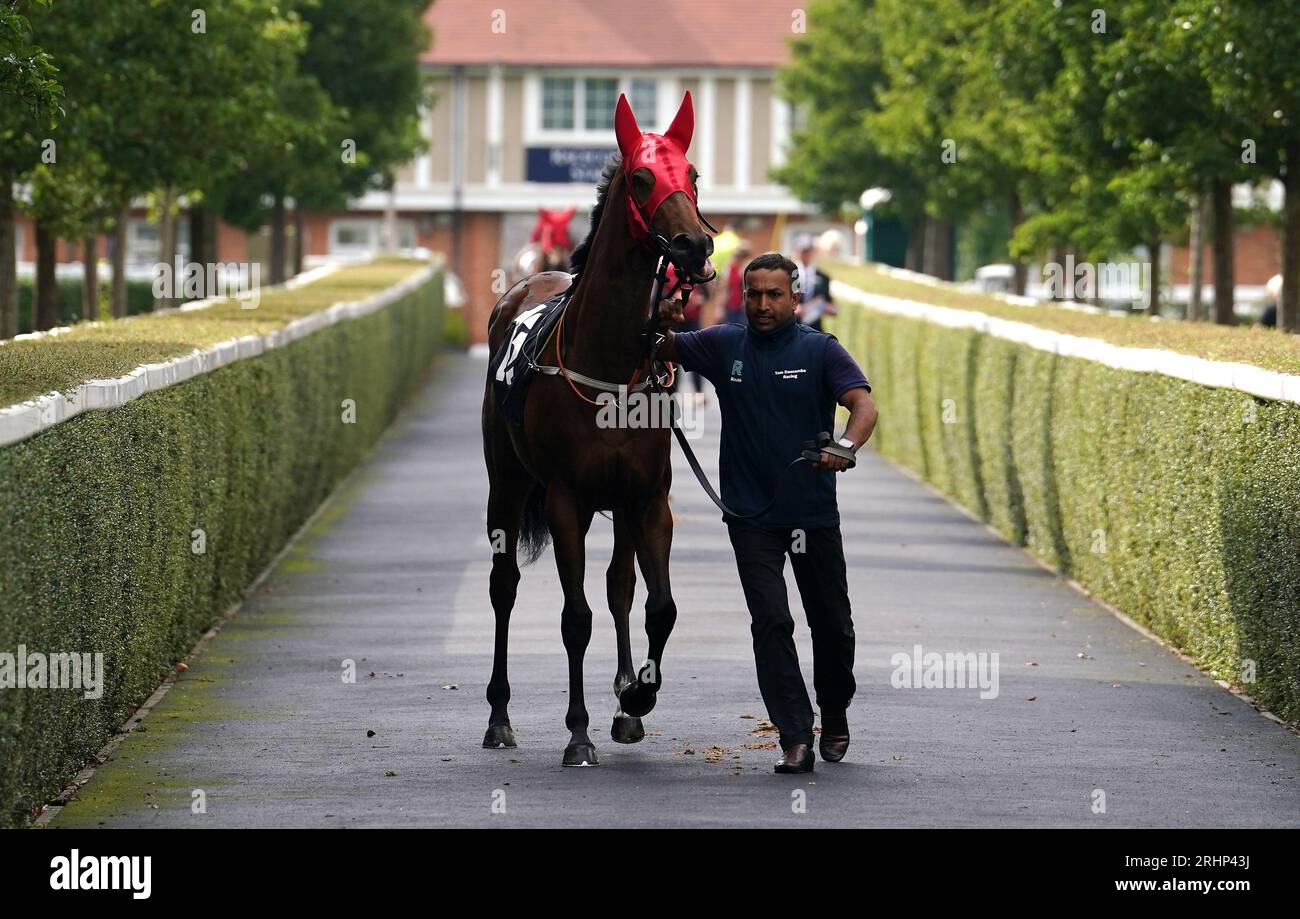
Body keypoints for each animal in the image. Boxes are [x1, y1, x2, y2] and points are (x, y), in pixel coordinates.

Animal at [481, 91, 714, 766]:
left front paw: (635, 697)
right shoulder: (567, 499)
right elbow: (574, 617)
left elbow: (656, 605)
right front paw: (578, 731)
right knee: (504, 586)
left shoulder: (648, 496)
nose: (693, 245)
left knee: (619, 586)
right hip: (506, 485)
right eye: (641, 179)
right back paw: (499, 717)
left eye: (692, 175)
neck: (609, 364)